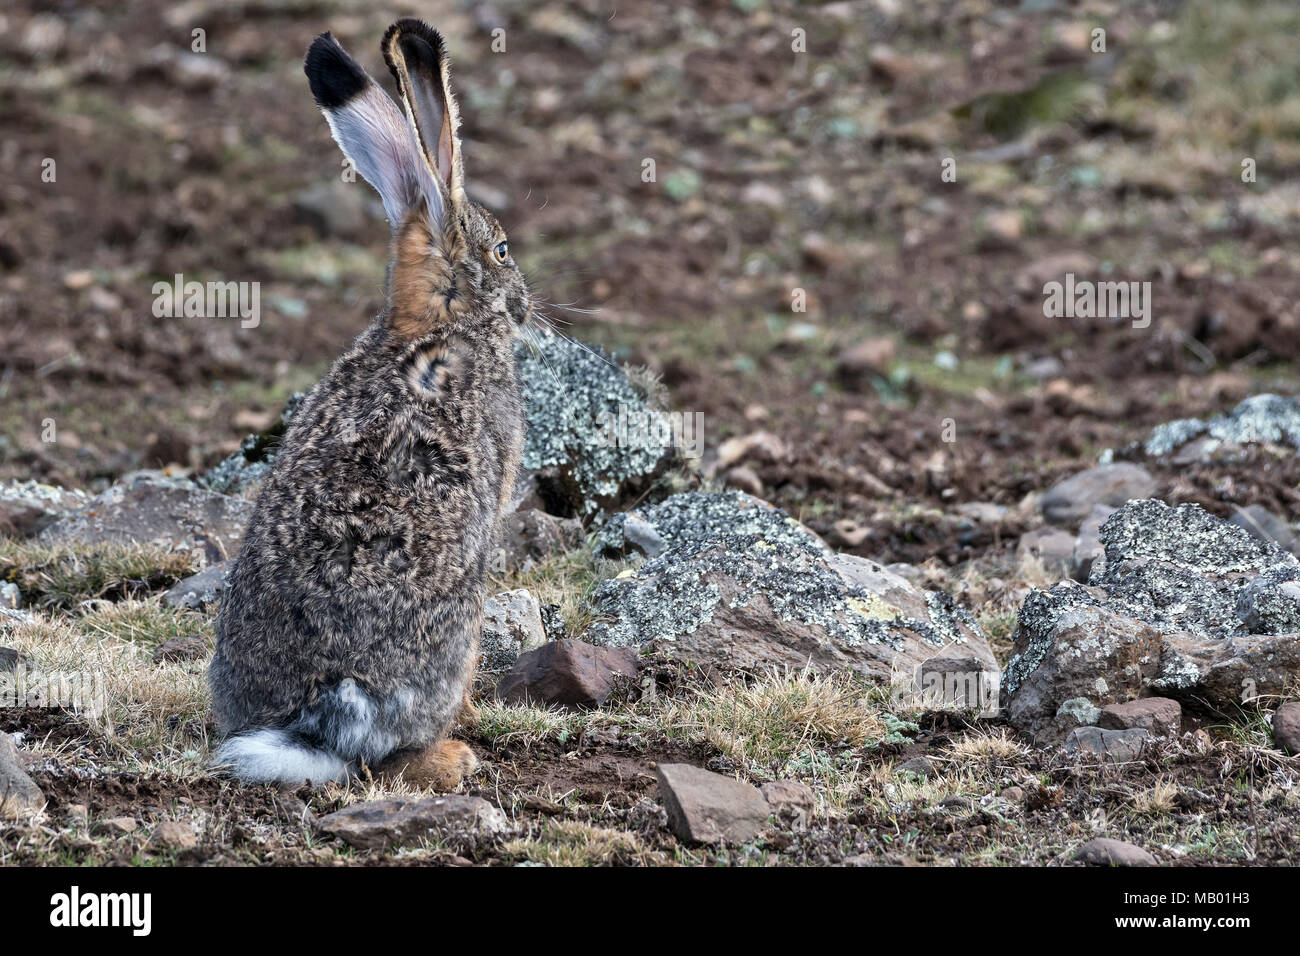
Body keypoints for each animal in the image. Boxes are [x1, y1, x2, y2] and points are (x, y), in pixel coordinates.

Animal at [208, 18, 530, 788]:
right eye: (503, 249)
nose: (527, 303)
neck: (434, 323)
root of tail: (323, 708)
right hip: (454, 620)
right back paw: (453, 750)